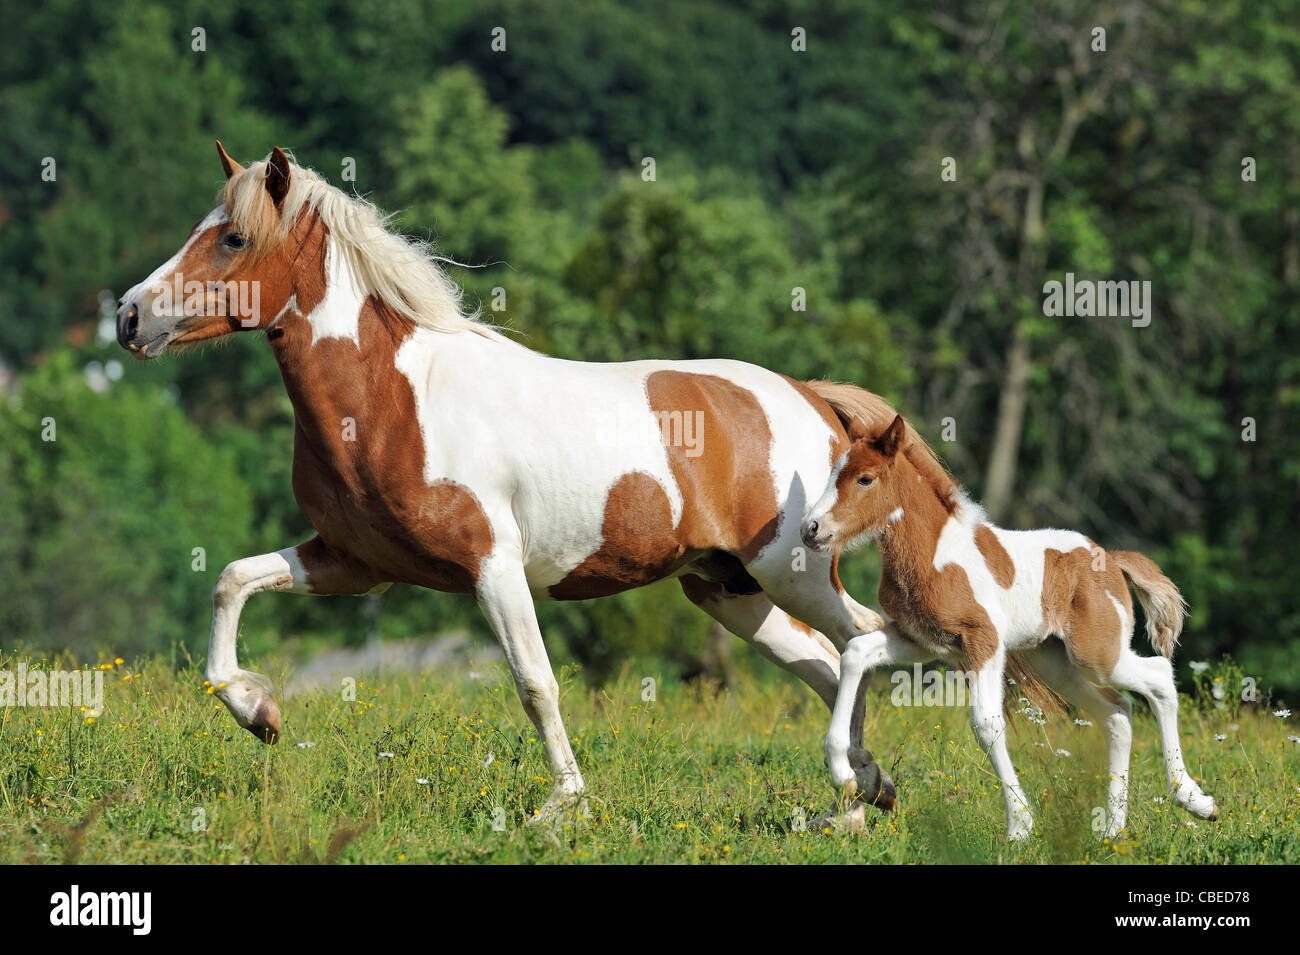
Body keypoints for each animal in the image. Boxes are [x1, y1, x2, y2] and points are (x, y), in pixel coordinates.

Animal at [114, 142, 923, 820]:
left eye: (233, 238)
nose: (128, 315)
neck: (392, 398)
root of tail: (811, 399)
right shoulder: (353, 564)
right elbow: (231, 580)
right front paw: (260, 713)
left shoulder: (492, 567)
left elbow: (536, 681)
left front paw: (562, 808)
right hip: (727, 588)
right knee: (825, 663)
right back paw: (864, 794)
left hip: (792, 570)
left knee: (861, 642)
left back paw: (861, 796)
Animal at [800, 413, 1218, 840]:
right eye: (834, 471)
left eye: (865, 478)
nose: (810, 529)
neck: (936, 555)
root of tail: (1112, 559)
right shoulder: (920, 640)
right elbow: (855, 653)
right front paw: (842, 773)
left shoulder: (982, 641)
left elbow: (986, 724)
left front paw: (1019, 827)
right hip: (1055, 661)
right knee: (1117, 711)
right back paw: (1112, 830)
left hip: (1098, 654)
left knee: (1159, 677)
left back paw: (1193, 800)